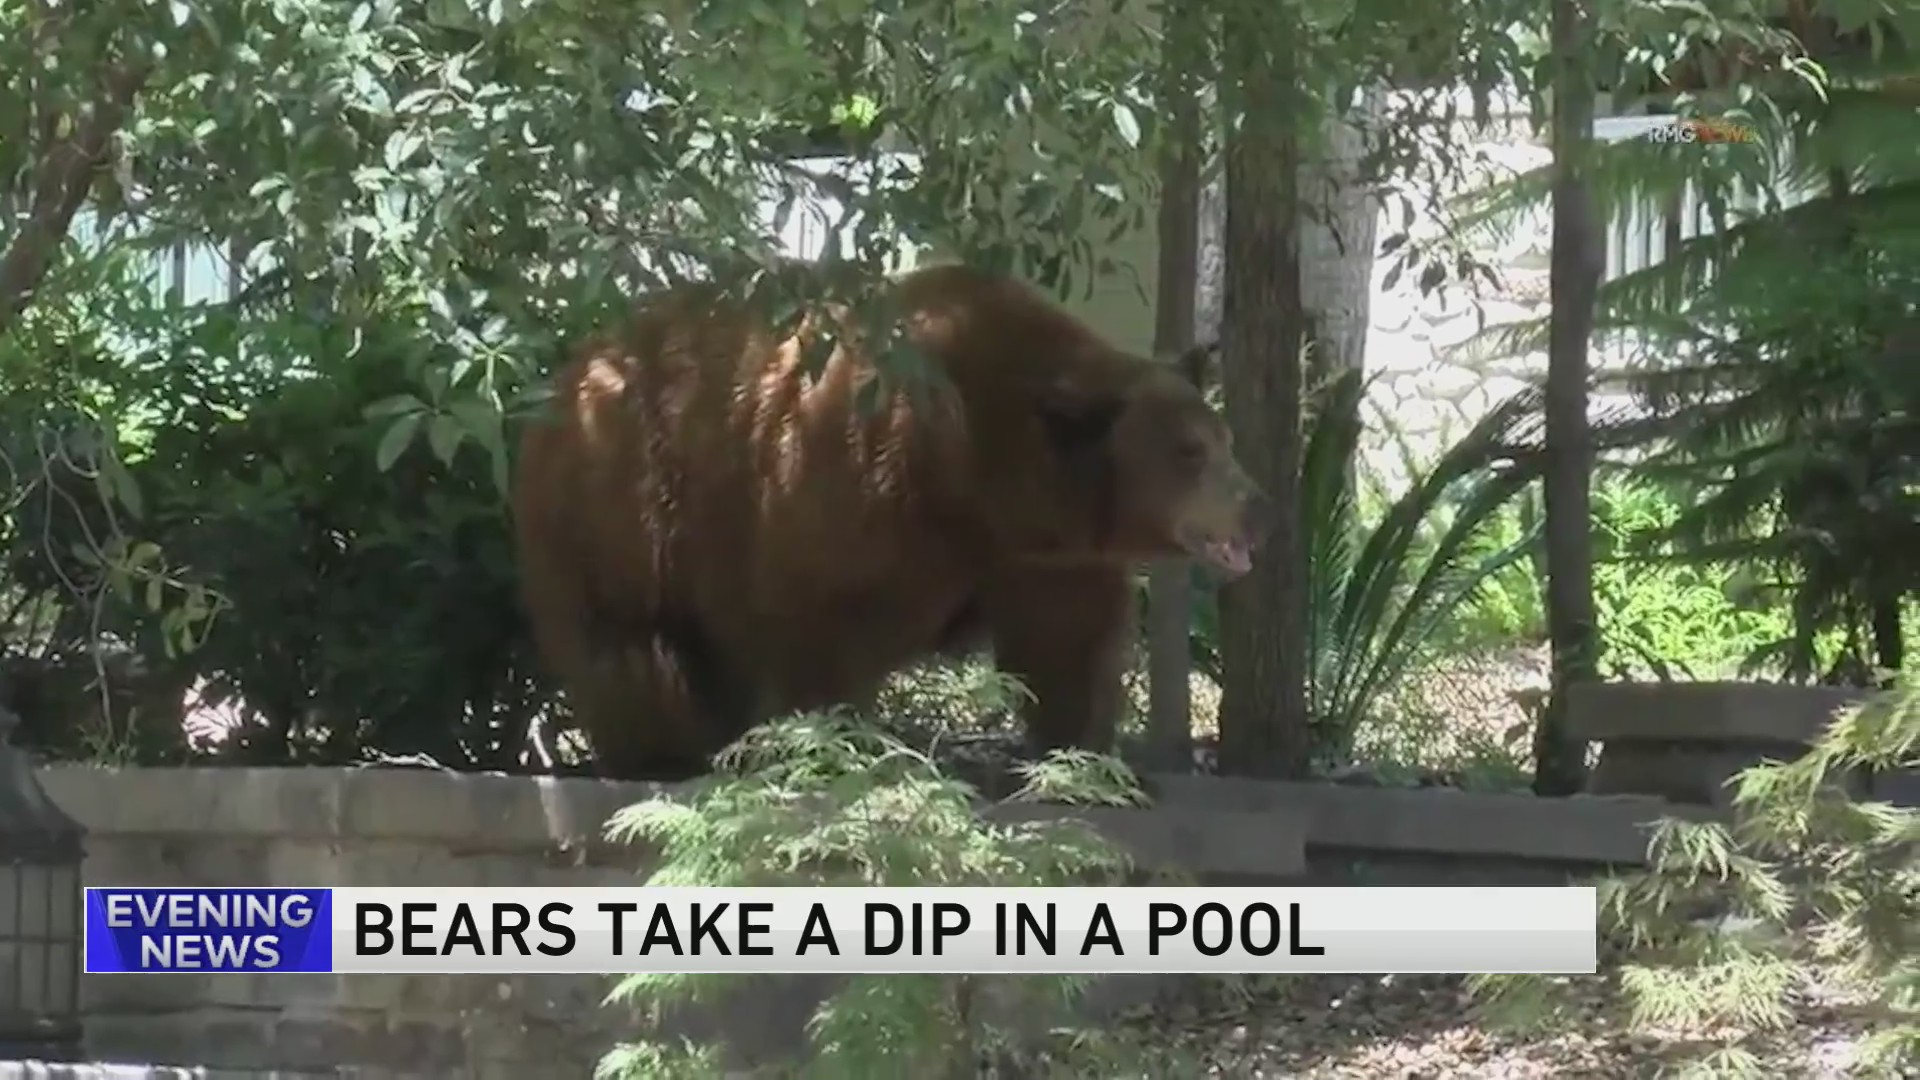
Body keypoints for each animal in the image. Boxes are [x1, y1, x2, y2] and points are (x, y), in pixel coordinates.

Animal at [510, 262, 1271, 781]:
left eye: (1224, 438)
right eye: (1189, 452)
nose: (1258, 508)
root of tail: (566, 376)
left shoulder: (1043, 555)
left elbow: (1069, 644)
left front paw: (1082, 755)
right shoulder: (857, 488)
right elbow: (821, 623)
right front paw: (836, 744)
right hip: (618, 514)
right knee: (630, 646)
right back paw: (665, 752)